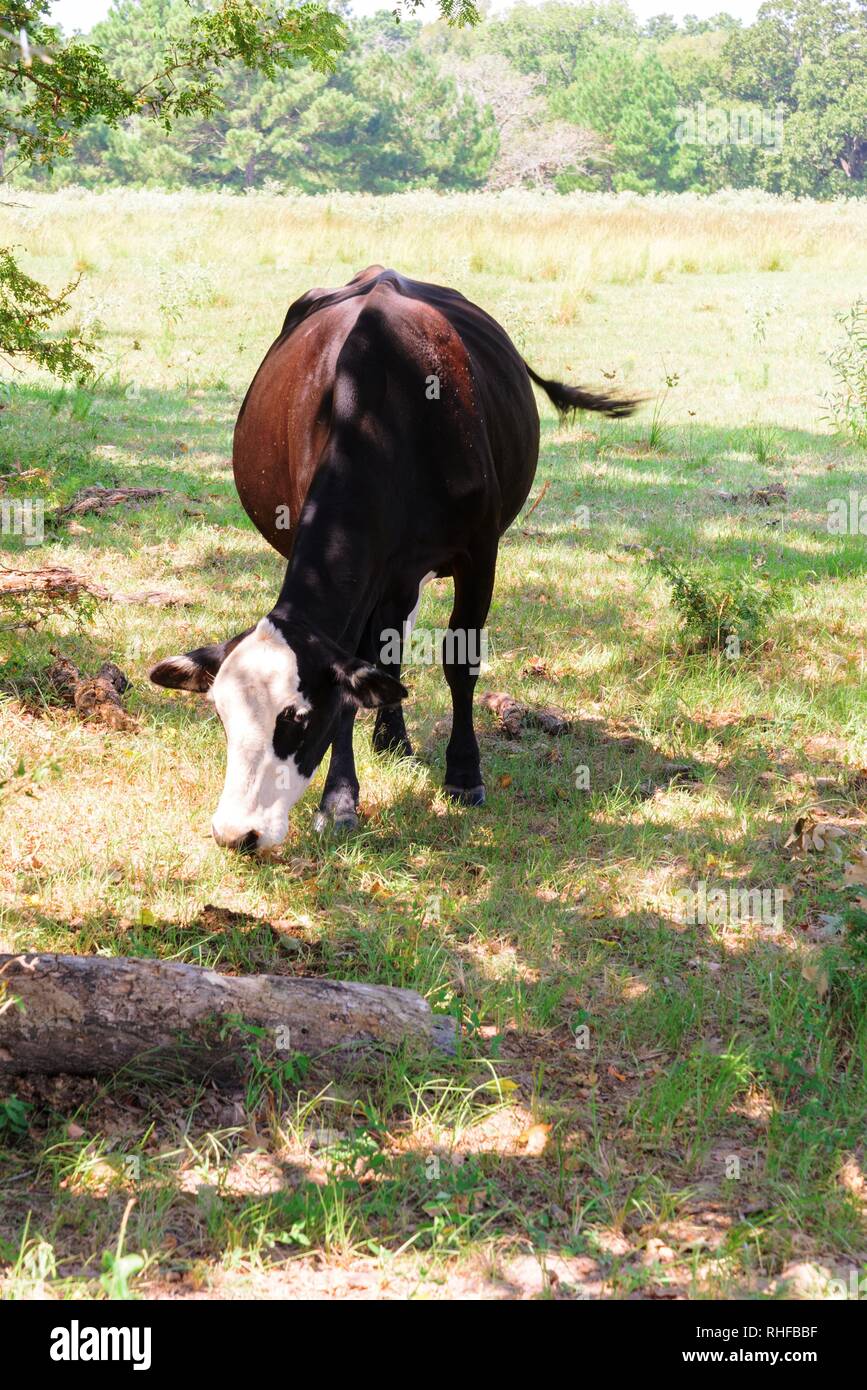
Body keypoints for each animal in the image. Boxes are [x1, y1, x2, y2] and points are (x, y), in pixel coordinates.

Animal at [149, 267, 636, 851]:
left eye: (297, 719)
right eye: (221, 716)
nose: (234, 833)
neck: (387, 418)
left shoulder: (479, 553)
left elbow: (459, 661)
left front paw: (463, 775)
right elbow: (358, 671)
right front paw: (340, 800)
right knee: (386, 644)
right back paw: (390, 737)